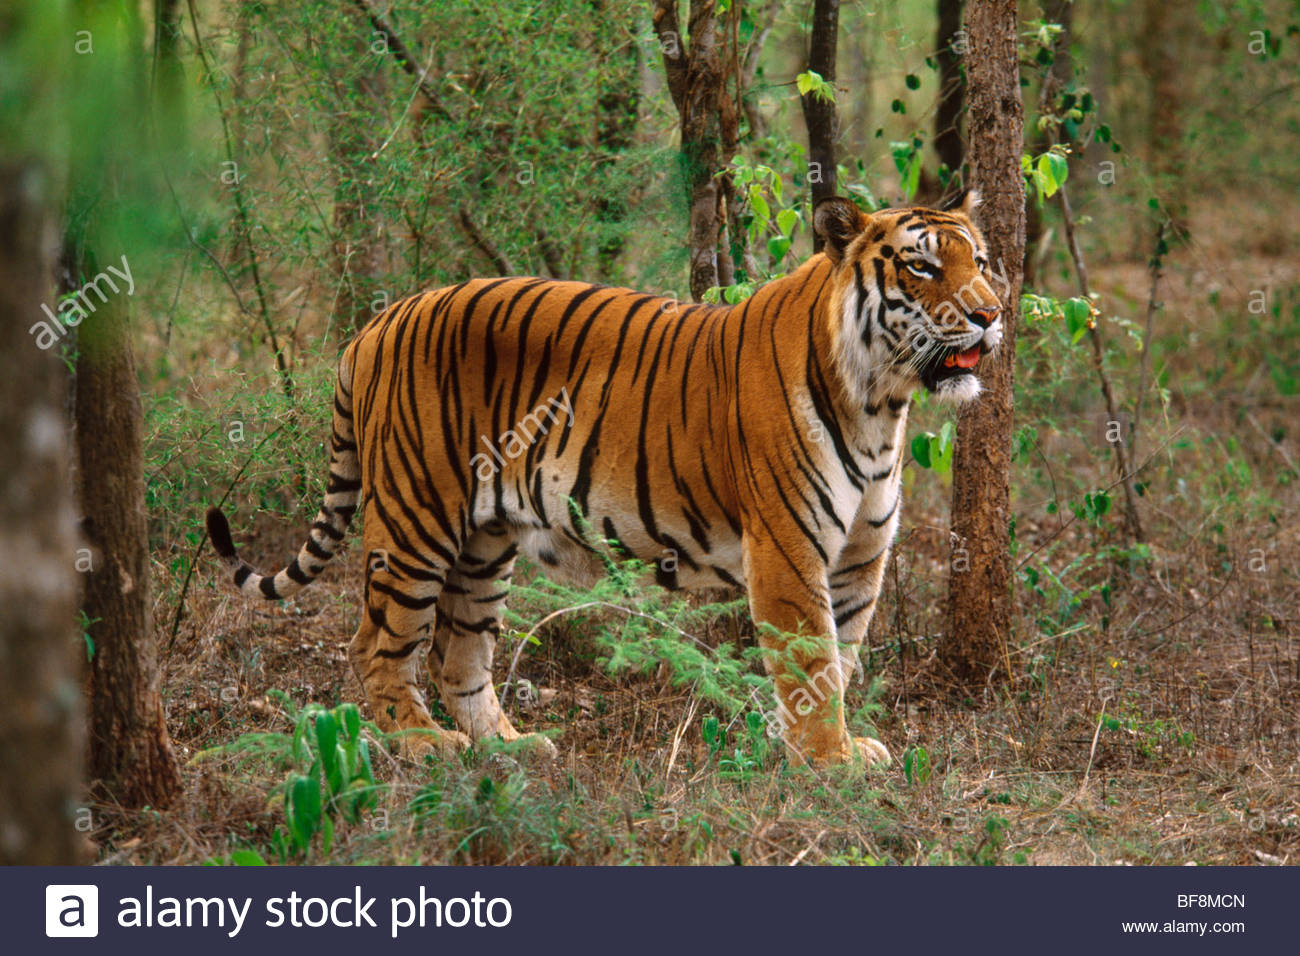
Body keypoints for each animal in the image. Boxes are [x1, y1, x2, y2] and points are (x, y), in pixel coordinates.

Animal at [207, 191, 1006, 770]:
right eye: (922, 268)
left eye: (981, 260)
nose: (990, 315)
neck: (882, 403)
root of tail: (377, 323)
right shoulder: (788, 549)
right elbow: (813, 663)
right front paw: (831, 763)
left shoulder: (861, 555)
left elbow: (840, 657)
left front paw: (819, 749)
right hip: (415, 520)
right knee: (378, 642)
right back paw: (422, 743)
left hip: (483, 542)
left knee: (455, 652)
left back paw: (510, 745)